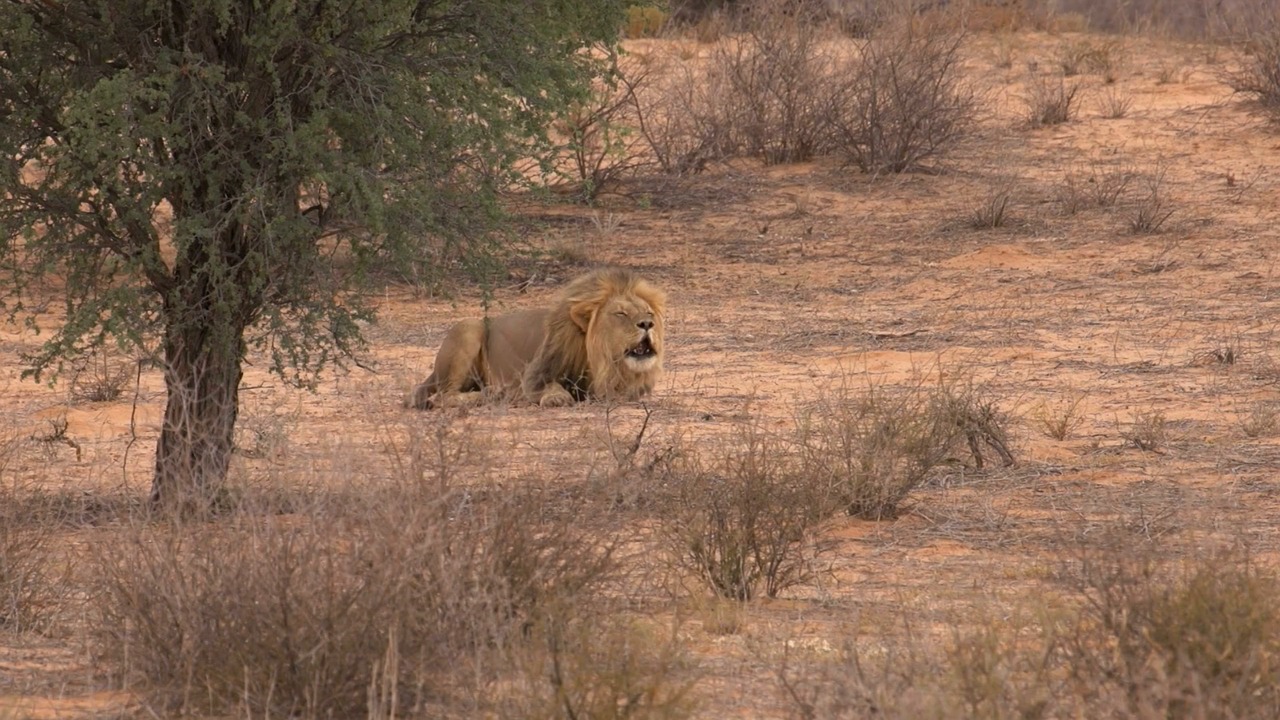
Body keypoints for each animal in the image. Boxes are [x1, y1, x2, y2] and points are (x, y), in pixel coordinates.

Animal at [405, 268, 666, 410]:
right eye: (621, 314)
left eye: (649, 313)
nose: (647, 324)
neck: (598, 363)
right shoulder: (535, 374)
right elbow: (547, 385)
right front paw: (557, 397)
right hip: (469, 327)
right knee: (443, 395)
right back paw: (490, 394)